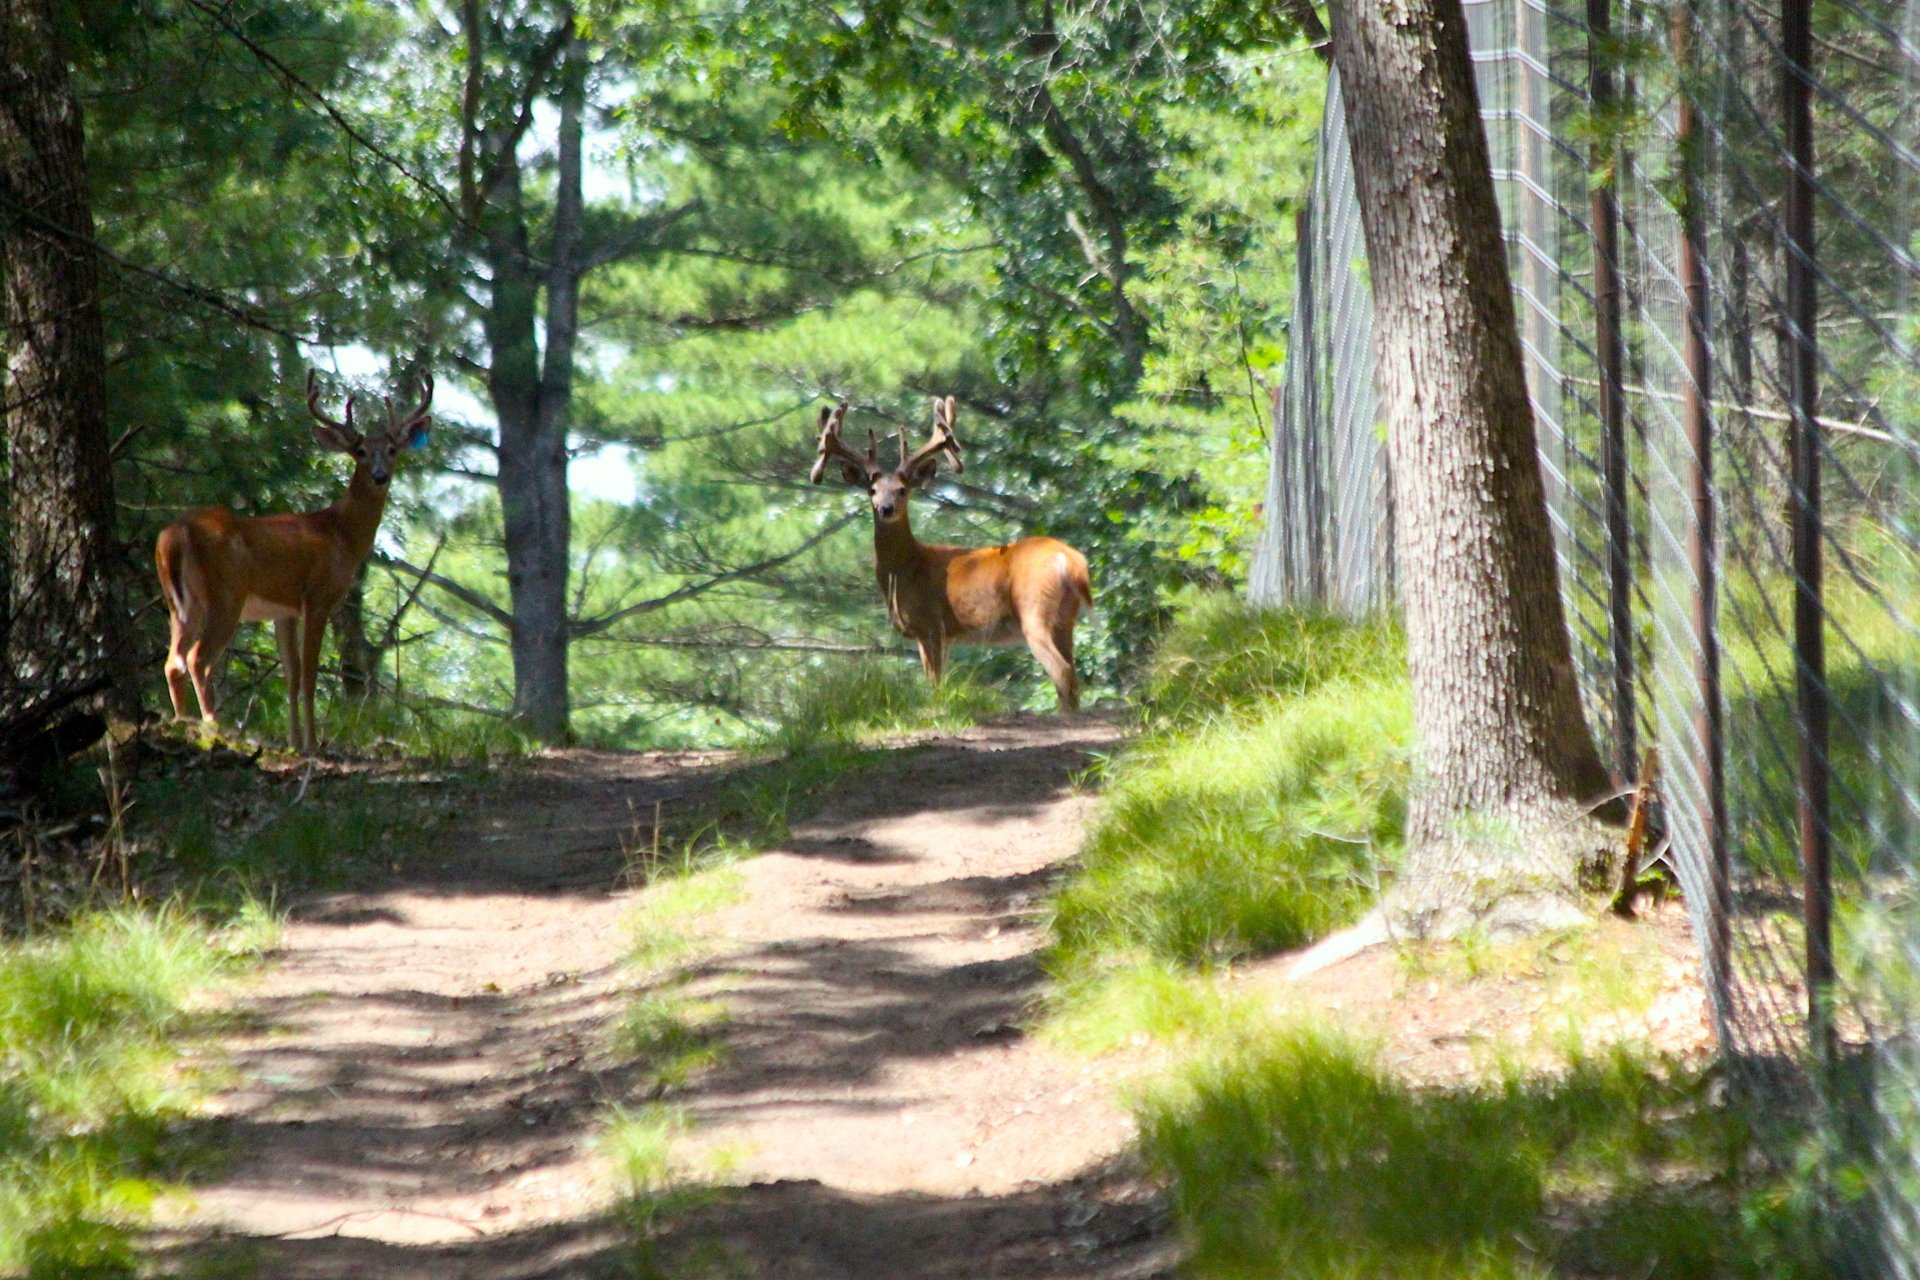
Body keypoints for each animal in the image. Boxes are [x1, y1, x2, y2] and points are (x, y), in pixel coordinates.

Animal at [155, 369, 432, 753]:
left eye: (392, 450)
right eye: (360, 451)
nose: (380, 476)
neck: (339, 532)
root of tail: (178, 532)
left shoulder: (283, 611)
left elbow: (291, 674)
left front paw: (295, 741)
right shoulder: (318, 597)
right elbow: (309, 674)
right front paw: (313, 744)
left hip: (180, 603)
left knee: (173, 662)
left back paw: (183, 723)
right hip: (226, 594)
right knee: (198, 659)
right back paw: (213, 726)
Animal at [810, 396, 1094, 711]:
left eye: (902, 490)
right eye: (872, 490)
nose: (886, 509)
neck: (908, 568)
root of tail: (1071, 560)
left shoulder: (930, 626)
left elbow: (935, 685)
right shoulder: (943, 635)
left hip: (1036, 610)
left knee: (1063, 673)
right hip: (1065, 619)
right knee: (1073, 675)